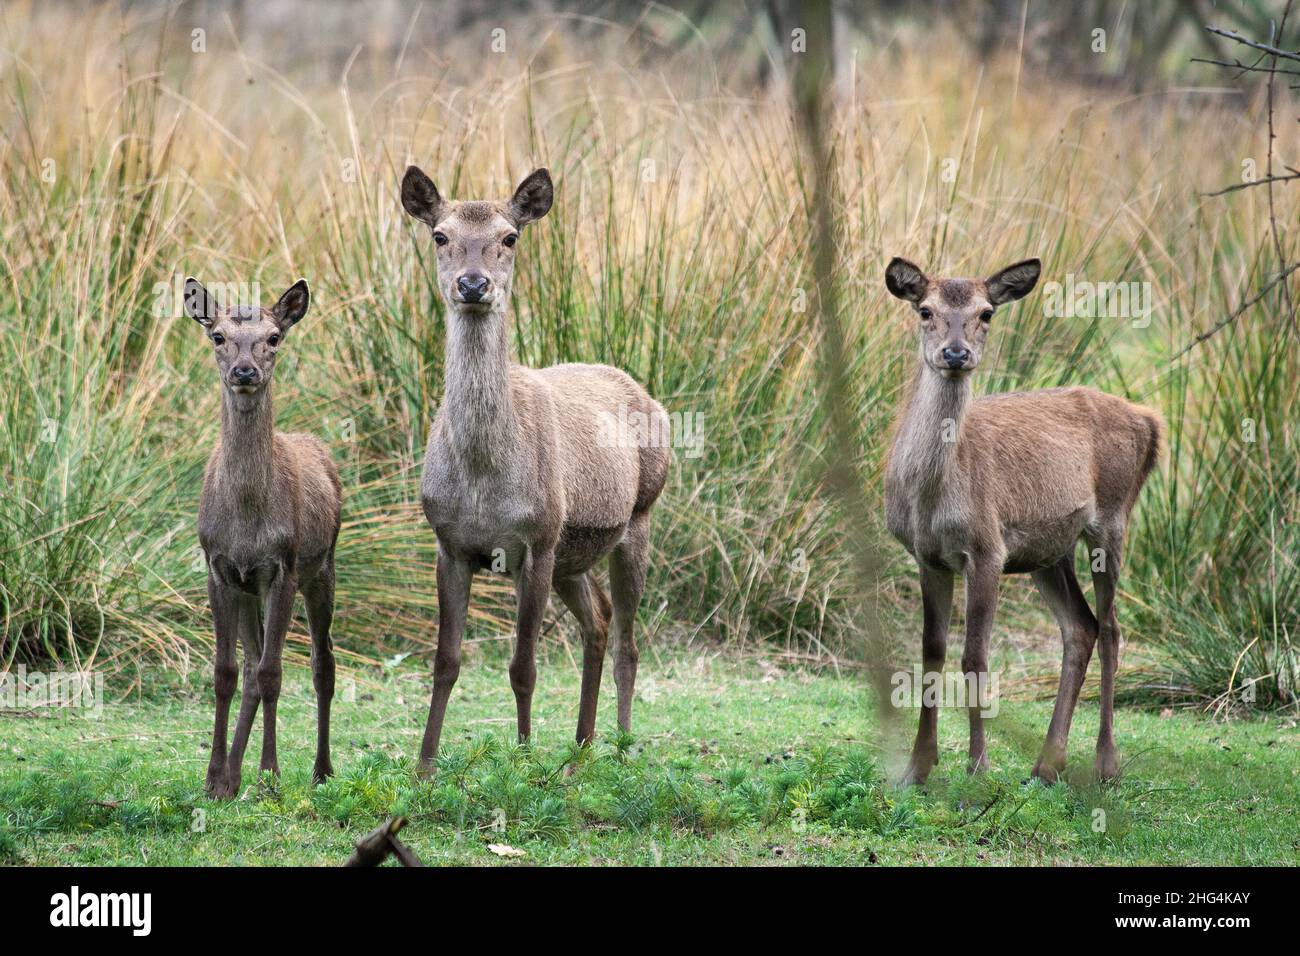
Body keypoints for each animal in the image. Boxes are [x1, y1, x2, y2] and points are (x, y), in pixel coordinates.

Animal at [184, 277, 342, 800]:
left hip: (323, 568)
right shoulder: (219, 568)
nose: (244, 370)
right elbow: (227, 673)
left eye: (274, 337)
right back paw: (234, 776)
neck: (248, 520)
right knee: (251, 668)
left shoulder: (282, 567)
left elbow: (275, 673)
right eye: (218, 336)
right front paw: (214, 780)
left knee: (322, 665)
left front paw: (270, 776)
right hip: (249, 587)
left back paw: (321, 770)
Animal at [400, 165, 670, 775]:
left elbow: (523, 666)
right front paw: (424, 766)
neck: (484, 478)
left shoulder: (536, 542)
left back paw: (620, 745)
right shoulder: (449, 543)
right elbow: (445, 661)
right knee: (598, 621)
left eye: (510, 237)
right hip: (576, 552)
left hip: (637, 517)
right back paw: (582, 745)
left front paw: (523, 760)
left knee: (628, 638)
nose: (473, 284)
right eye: (440, 235)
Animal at [882, 256, 1163, 786]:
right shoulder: (927, 556)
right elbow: (932, 652)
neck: (930, 495)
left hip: (1112, 518)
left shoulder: (987, 548)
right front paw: (916, 768)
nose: (956, 353)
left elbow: (975, 655)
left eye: (986, 312)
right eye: (925, 310)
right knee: (1080, 627)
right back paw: (1048, 763)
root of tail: (1150, 420)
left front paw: (977, 765)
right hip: (1048, 552)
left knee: (1111, 628)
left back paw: (1105, 762)